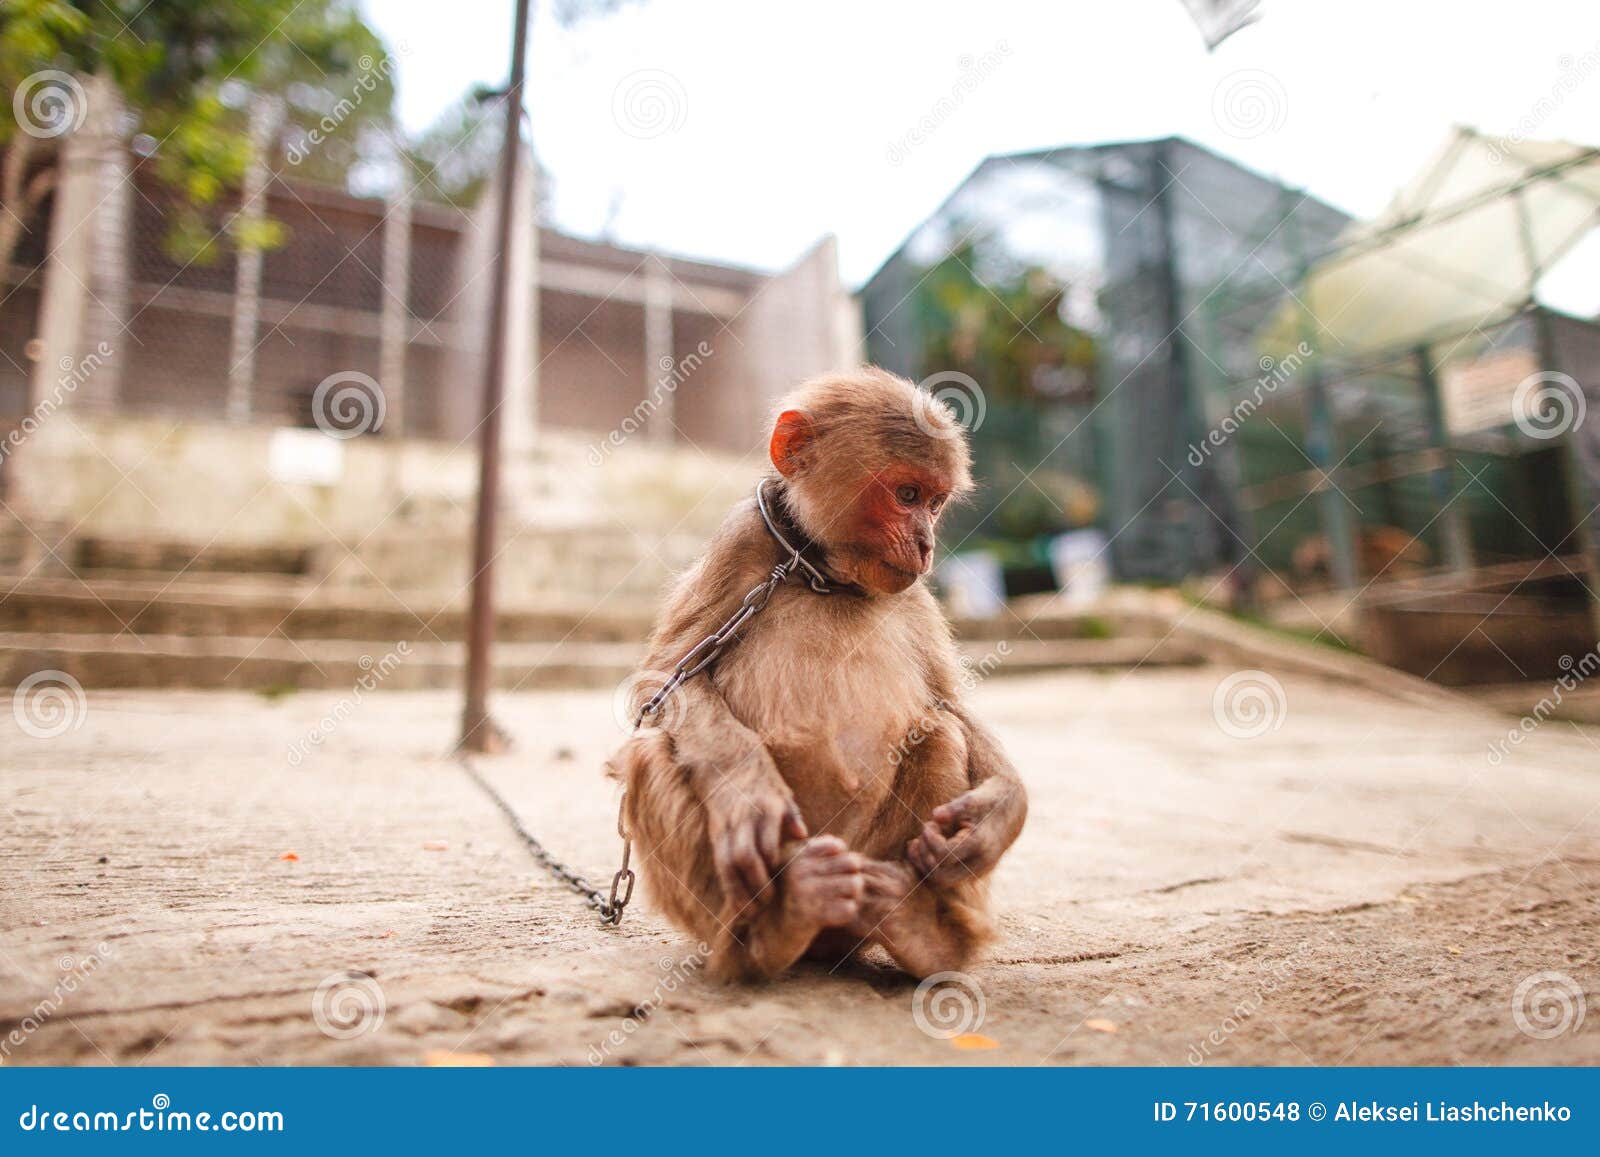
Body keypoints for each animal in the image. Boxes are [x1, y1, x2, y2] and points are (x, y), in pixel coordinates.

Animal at [608, 366, 1027, 982]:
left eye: (935, 502)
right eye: (906, 495)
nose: (926, 544)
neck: (824, 573)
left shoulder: (913, 594)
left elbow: (949, 705)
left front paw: (1000, 809)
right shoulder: (744, 542)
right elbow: (663, 686)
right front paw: (750, 792)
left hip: (865, 861)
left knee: (939, 732)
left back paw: (915, 927)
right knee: (651, 751)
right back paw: (773, 929)